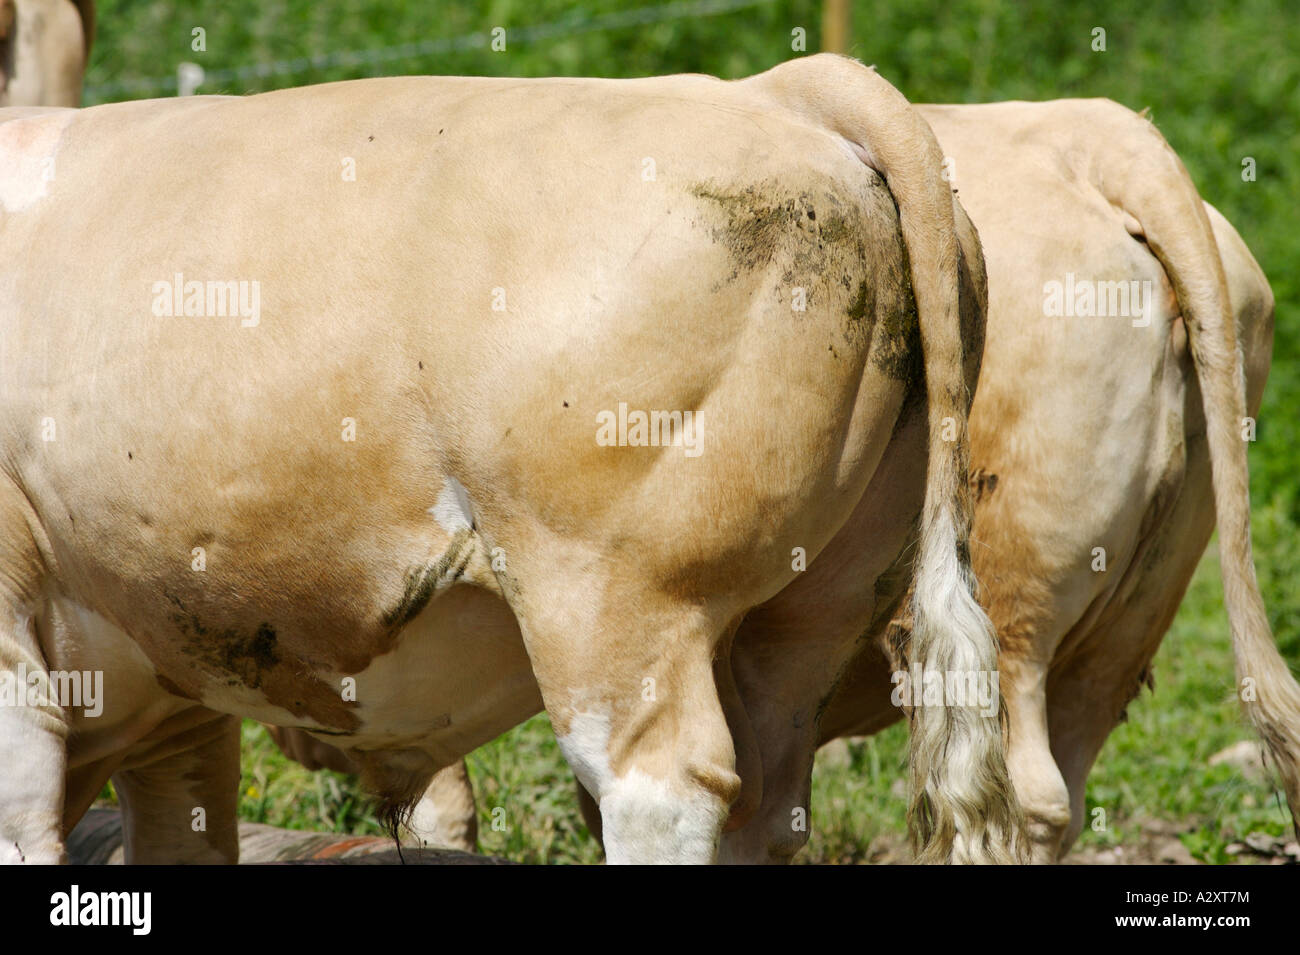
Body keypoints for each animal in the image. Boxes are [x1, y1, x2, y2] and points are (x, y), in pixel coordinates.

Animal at [0, 53, 1020, 864]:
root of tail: (777, 90)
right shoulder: (175, 697)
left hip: (615, 598)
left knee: (665, 789)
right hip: (815, 611)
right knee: (768, 799)